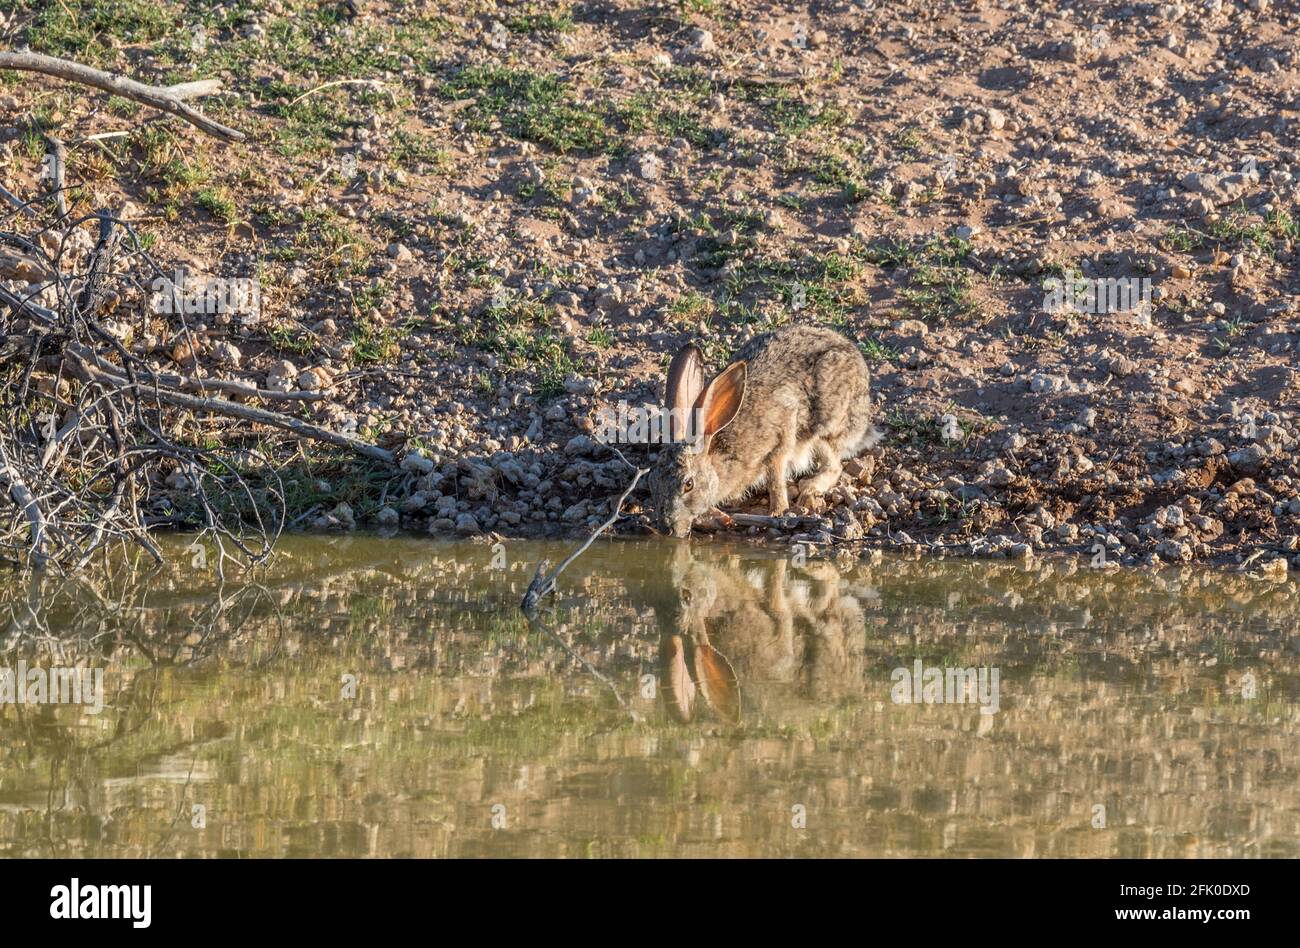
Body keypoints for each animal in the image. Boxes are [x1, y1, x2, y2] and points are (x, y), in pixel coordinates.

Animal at [647, 324, 882, 537]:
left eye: (689, 484)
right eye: (654, 481)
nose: (667, 529)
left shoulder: (782, 434)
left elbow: (776, 478)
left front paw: (778, 511)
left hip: (823, 428)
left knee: (834, 466)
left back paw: (809, 486)